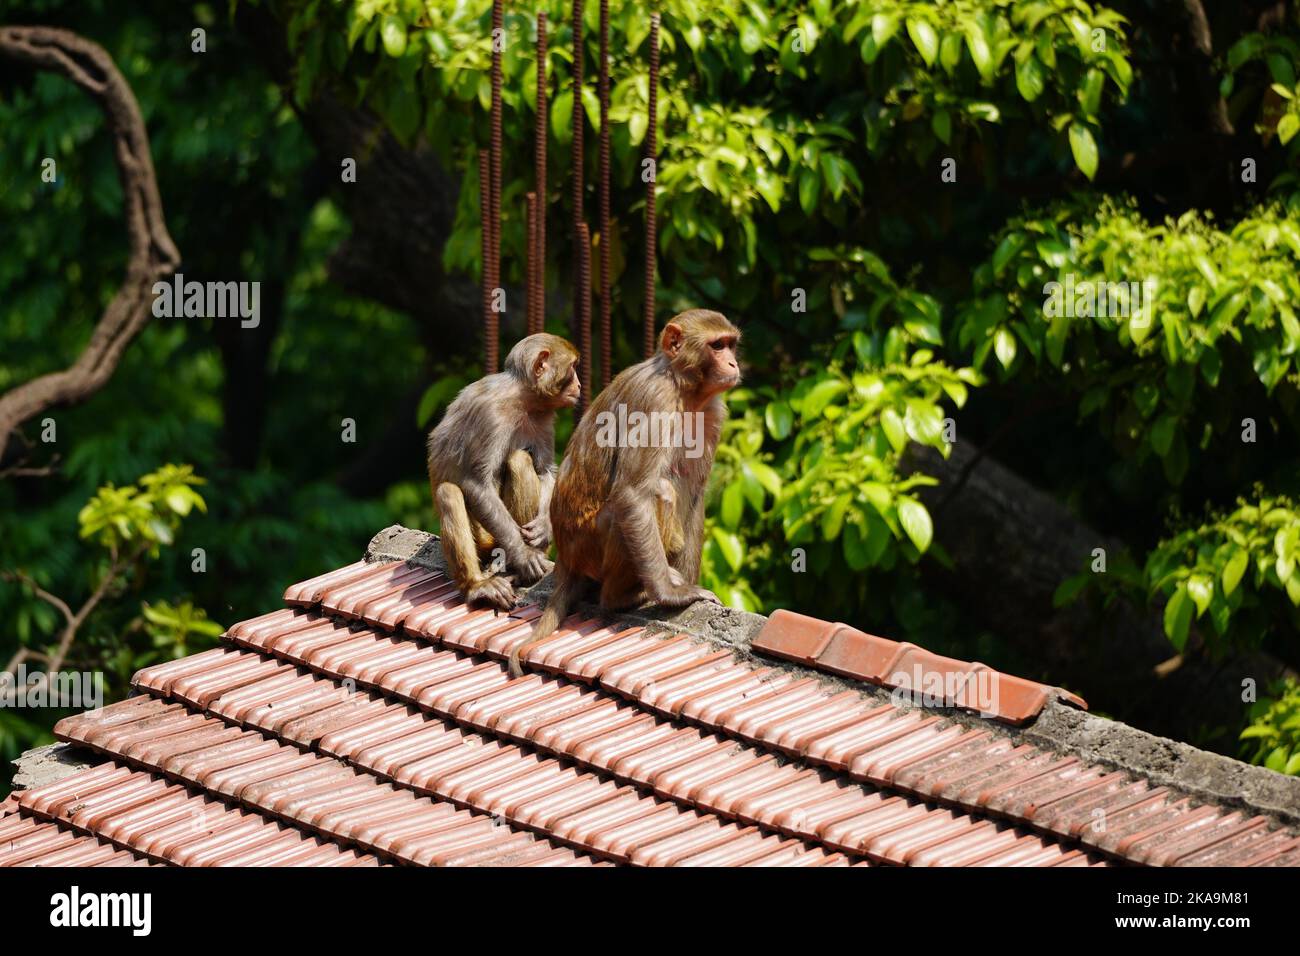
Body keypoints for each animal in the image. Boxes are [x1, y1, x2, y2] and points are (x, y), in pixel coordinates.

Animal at [427, 332, 581, 611]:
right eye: (573, 368)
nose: (579, 384)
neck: (521, 399)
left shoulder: (544, 415)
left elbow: (546, 471)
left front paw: (544, 527)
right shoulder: (490, 414)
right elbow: (477, 484)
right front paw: (523, 556)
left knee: (519, 459)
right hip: (483, 536)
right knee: (448, 493)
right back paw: (478, 584)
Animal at [508, 309, 741, 676]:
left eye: (730, 344)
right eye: (717, 346)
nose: (733, 363)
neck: (683, 387)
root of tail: (567, 559)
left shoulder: (713, 414)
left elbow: (694, 495)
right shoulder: (657, 402)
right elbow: (633, 493)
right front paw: (671, 593)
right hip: (590, 546)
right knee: (656, 492)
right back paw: (620, 597)